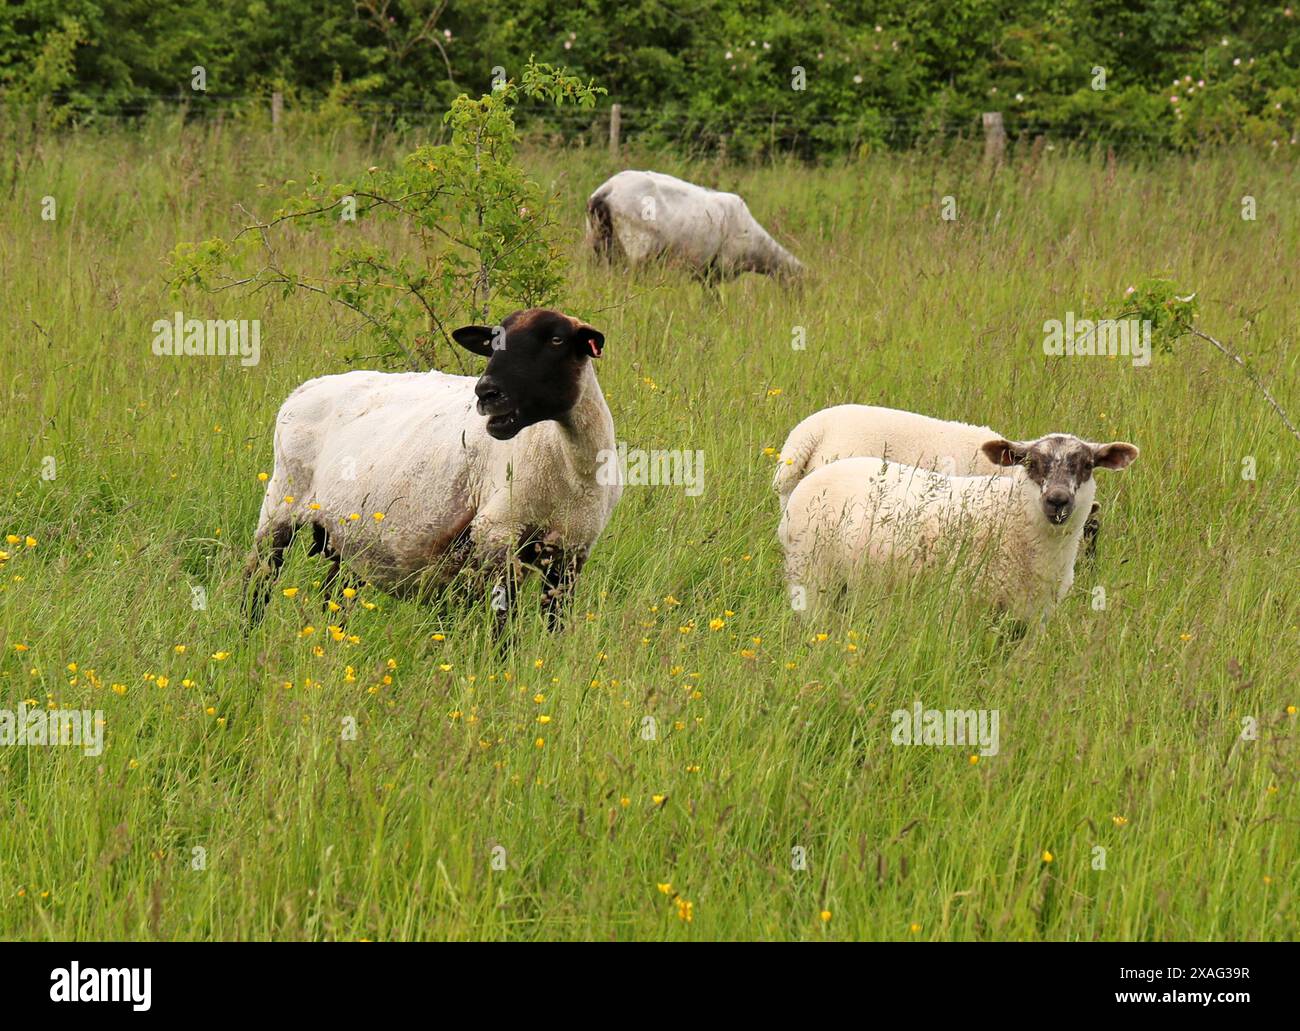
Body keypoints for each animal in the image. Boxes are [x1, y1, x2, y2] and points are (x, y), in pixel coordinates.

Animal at [245, 308, 621, 631]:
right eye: (492, 344)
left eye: (557, 340)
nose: (486, 392)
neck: (567, 460)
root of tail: (307, 388)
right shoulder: (497, 532)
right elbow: (504, 622)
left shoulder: (571, 550)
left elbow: (556, 623)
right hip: (282, 500)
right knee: (259, 576)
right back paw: (248, 635)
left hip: (350, 535)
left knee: (336, 595)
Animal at [778, 434, 1138, 622]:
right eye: (1030, 463)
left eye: (1088, 465)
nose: (1058, 500)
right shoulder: (963, 605)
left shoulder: (1033, 619)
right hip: (810, 575)